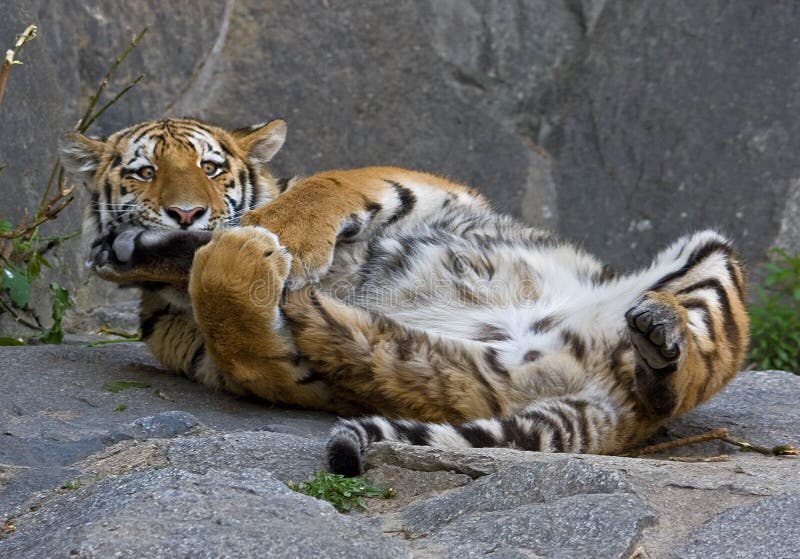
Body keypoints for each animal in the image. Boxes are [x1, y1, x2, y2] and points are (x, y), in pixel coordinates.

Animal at [60, 117, 749, 477]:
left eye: (211, 167)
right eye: (145, 172)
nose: (186, 212)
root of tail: (616, 406)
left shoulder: (423, 186)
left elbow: (321, 188)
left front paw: (268, 238)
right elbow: (236, 329)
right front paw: (213, 253)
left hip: (714, 258)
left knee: (673, 366)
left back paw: (659, 334)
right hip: (436, 364)